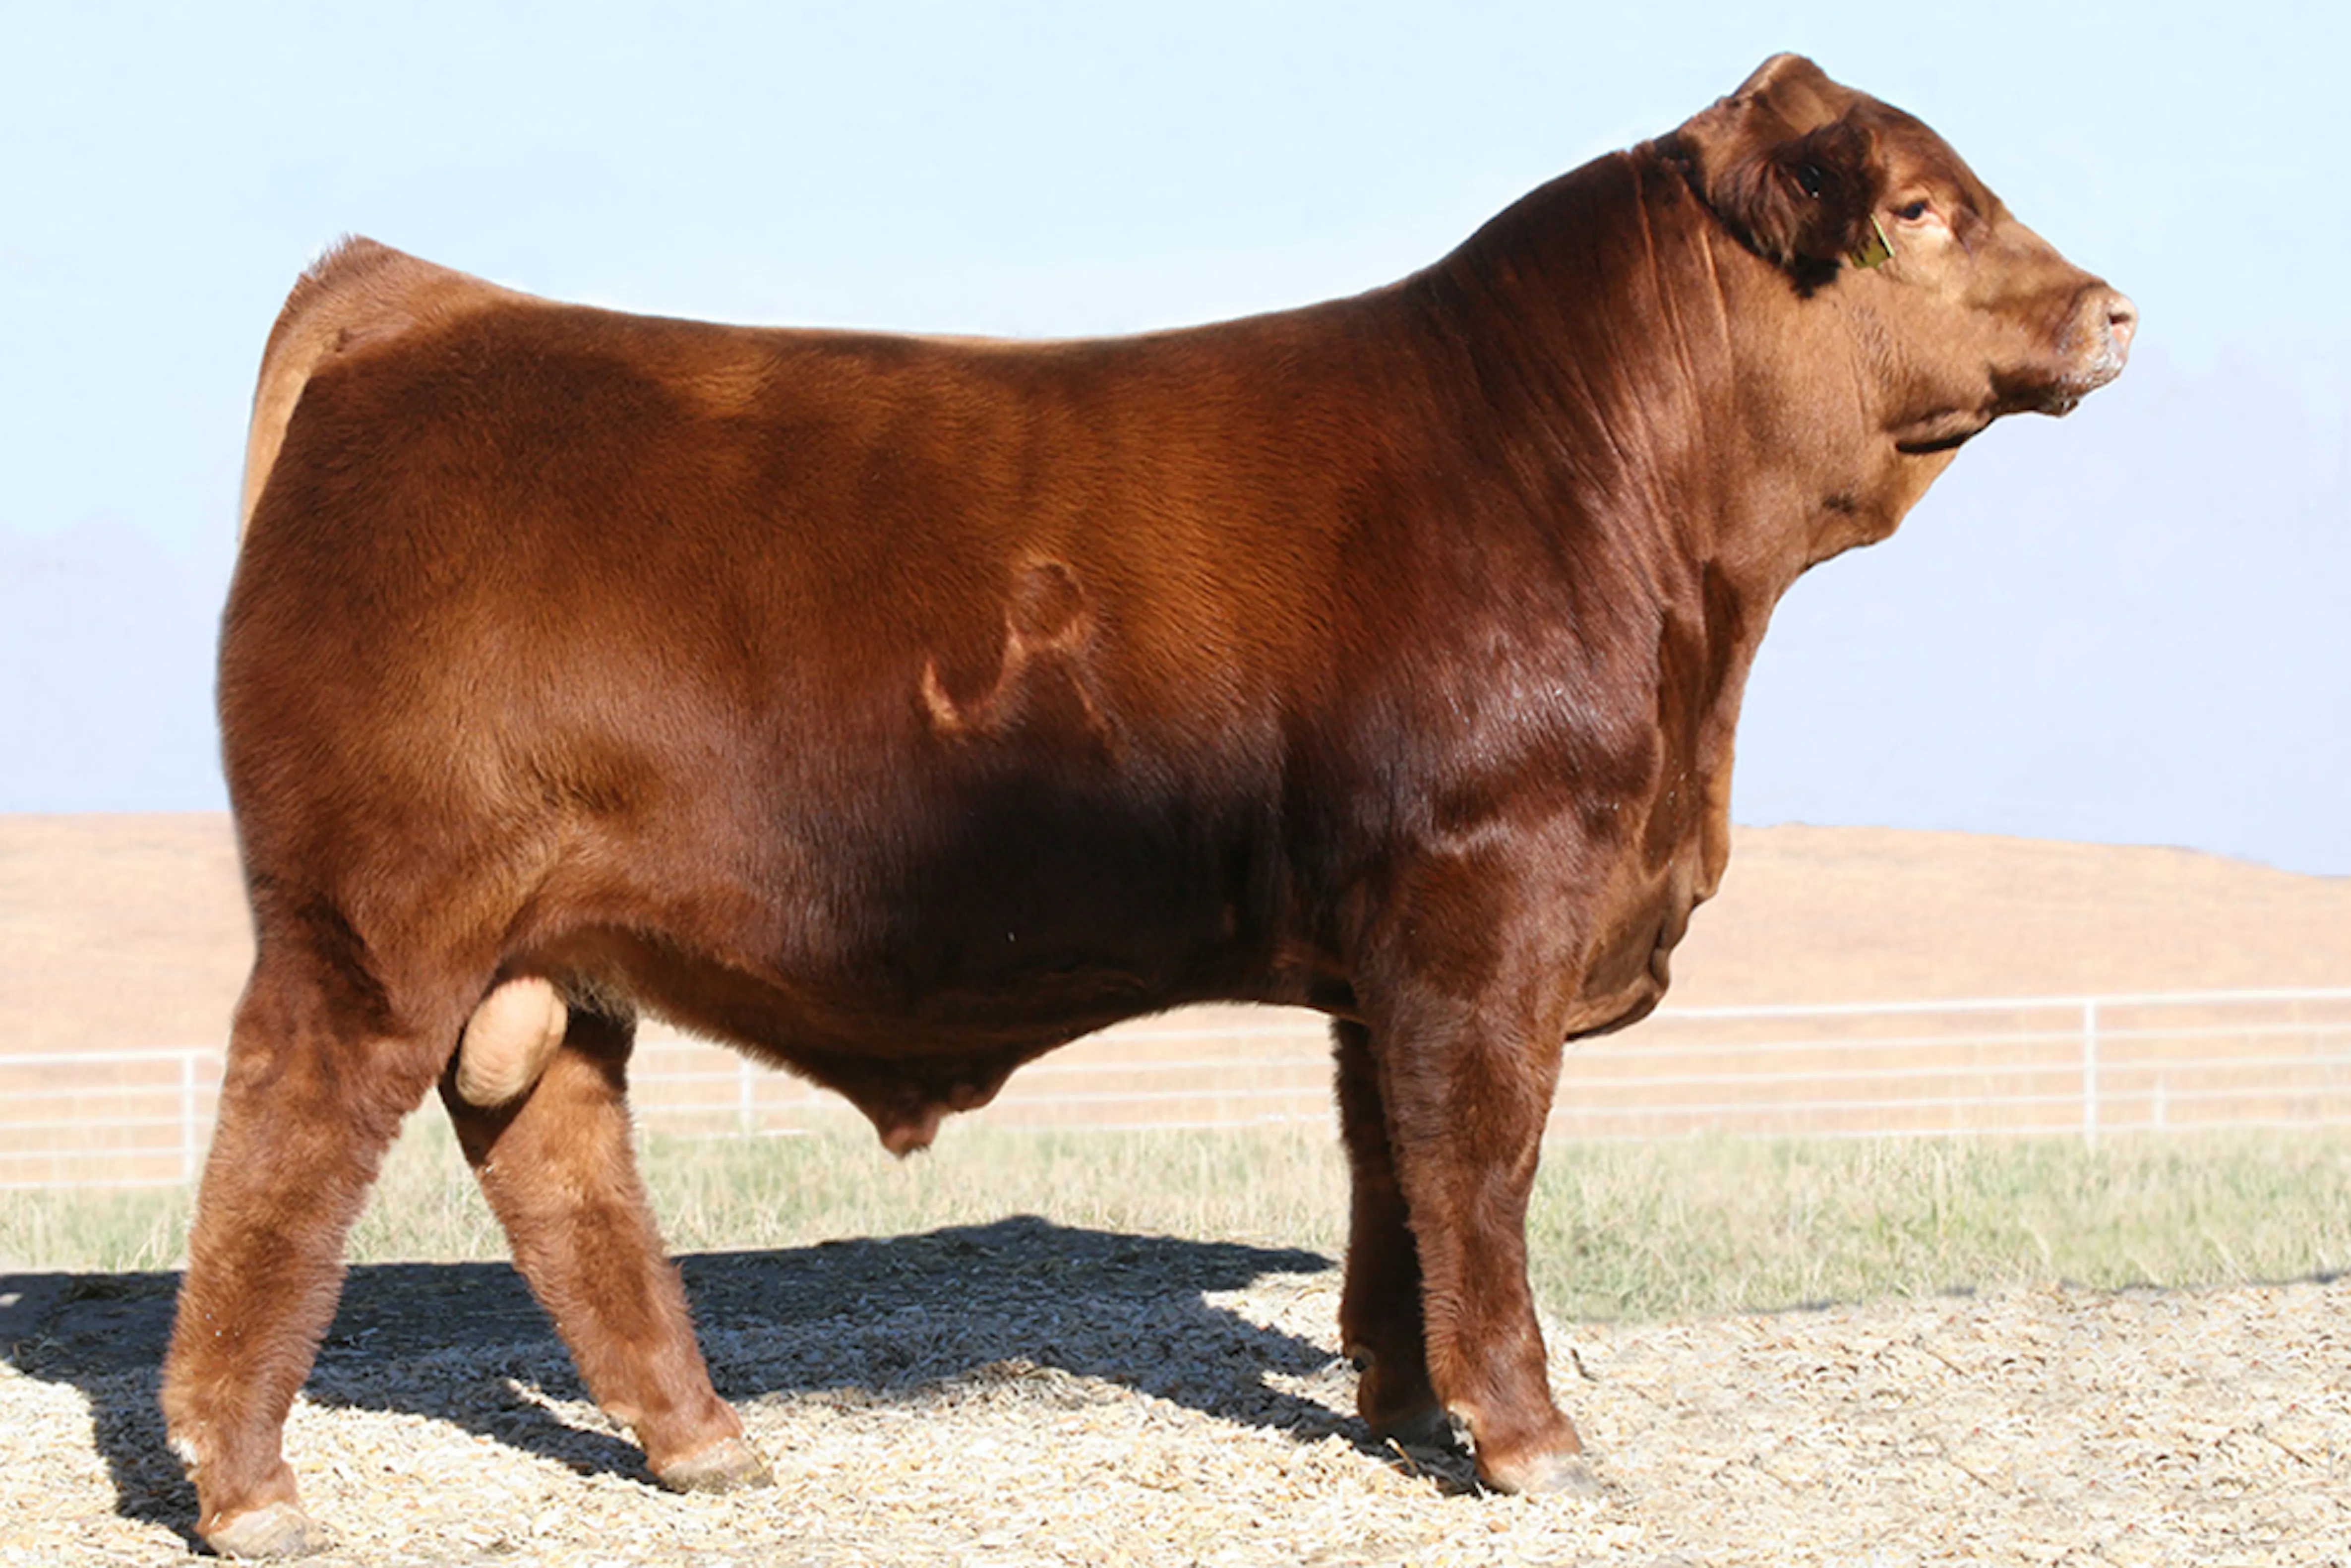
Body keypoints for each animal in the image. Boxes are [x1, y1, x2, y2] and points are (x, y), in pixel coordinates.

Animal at [165, 54, 2133, 1557]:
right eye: (1917, 211)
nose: (2111, 307)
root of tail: (423, 303)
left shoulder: (1389, 945)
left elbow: (1392, 1174)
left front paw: (1401, 1407)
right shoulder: (1491, 895)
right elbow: (1480, 1167)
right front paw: (1530, 1440)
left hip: (550, 953)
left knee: (560, 1161)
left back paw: (705, 1441)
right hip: (369, 922)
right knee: (280, 1157)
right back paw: (252, 1489)